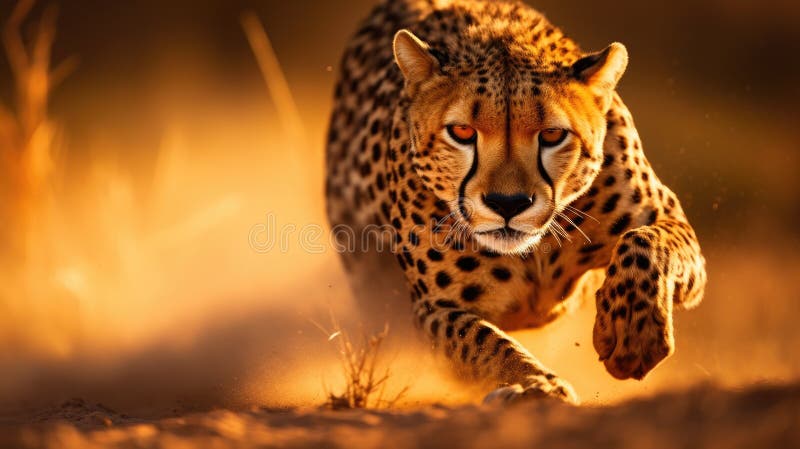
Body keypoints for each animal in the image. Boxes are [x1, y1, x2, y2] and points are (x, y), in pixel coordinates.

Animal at [325, 0, 706, 404]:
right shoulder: (435, 308)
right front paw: (537, 386)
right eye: (461, 132)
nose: (507, 204)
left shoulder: (669, 218)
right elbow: (484, 343)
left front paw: (635, 330)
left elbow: (646, 243)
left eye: (552, 135)